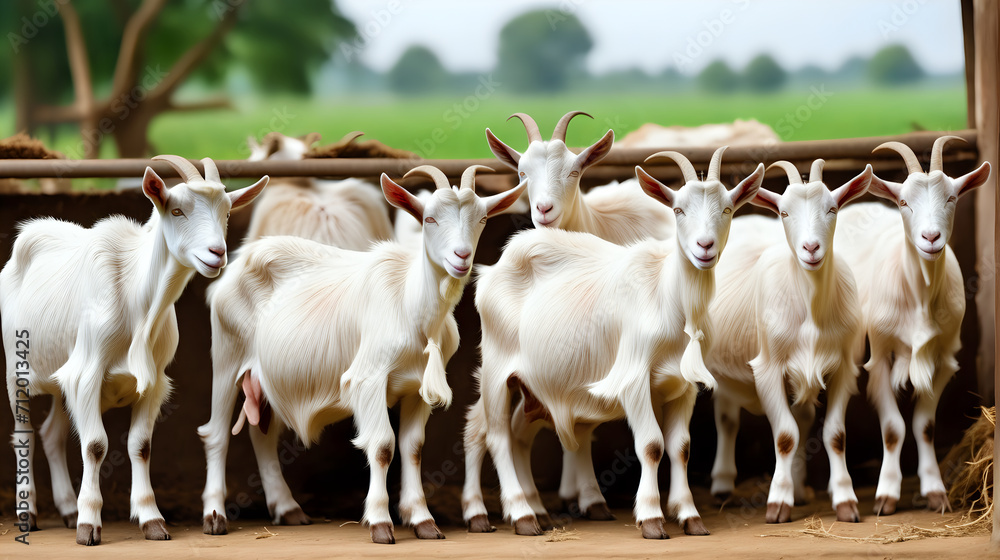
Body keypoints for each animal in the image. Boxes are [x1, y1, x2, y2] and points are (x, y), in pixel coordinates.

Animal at [2, 156, 266, 545]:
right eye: (177, 210)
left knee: (51, 436)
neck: (137, 299)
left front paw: (151, 520)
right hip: (16, 370)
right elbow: (95, 445)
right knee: (25, 437)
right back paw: (29, 515)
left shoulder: (153, 383)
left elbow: (140, 446)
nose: (217, 253)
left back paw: (66, 509)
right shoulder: (88, 374)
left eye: (227, 212)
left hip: (62, 381)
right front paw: (89, 526)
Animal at [199, 165, 525, 544]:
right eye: (429, 218)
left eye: (482, 218)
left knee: (262, 434)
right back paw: (215, 516)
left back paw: (289, 509)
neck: (411, 304)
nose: (462, 257)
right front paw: (381, 523)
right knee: (217, 433)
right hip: (227, 355)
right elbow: (383, 446)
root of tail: (239, 263)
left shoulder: (417, 389)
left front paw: (423, 520)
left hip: (272, 376)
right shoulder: (369, 379)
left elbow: (412, 447)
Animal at [471, 149, 763, 538]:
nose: (705, 247)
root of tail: (496, 266)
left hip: (535, 384)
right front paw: (652, 518)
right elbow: (652, 445)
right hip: (497, 366)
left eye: (728, 209)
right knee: (496, 435)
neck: (668, 298)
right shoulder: (633, 378)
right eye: (678, 210)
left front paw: (690, 516)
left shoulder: (683, 385)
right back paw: (520, 515)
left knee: (517, 433)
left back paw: (538, 510)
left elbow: (681, 448)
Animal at [709, 160, 873, 523]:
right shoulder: (767, 369)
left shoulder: (844, 369)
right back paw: (723, 485)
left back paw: (798, 491)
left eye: (832, 208)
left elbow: (834, 435)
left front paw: (846, 502)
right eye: (784, 212)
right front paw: (777, 504)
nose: (811, 248)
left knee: (801, 418)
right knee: (726, 418)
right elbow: (785, 436)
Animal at [834, 137, 991, 515]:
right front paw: (886, 495)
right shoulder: (880, 354)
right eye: (905, 201)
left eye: (951, 198)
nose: (931, 237)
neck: (919, 295)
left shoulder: (944, 356)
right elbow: (893, 429)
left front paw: (935, 491)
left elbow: (925, 426)